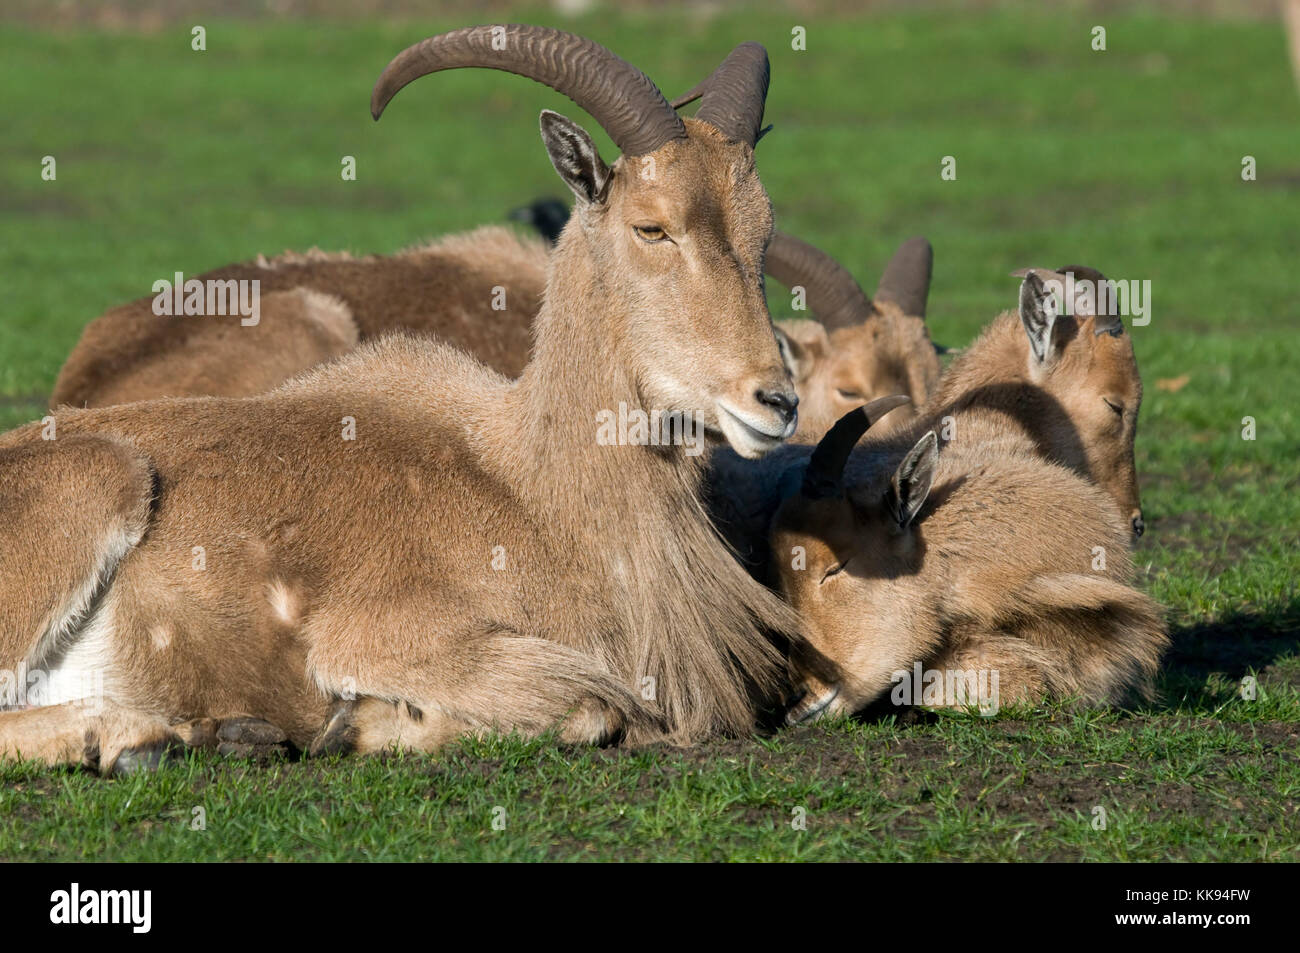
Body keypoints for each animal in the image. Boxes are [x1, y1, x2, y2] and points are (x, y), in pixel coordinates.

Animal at [0, 26, 803, 774]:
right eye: (652, 226)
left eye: (763, 233)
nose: (776, 400)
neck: (536, 492)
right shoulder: (380, 634)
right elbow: (589, 706)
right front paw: (355, 724)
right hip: (95, 483)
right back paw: (134, 735)